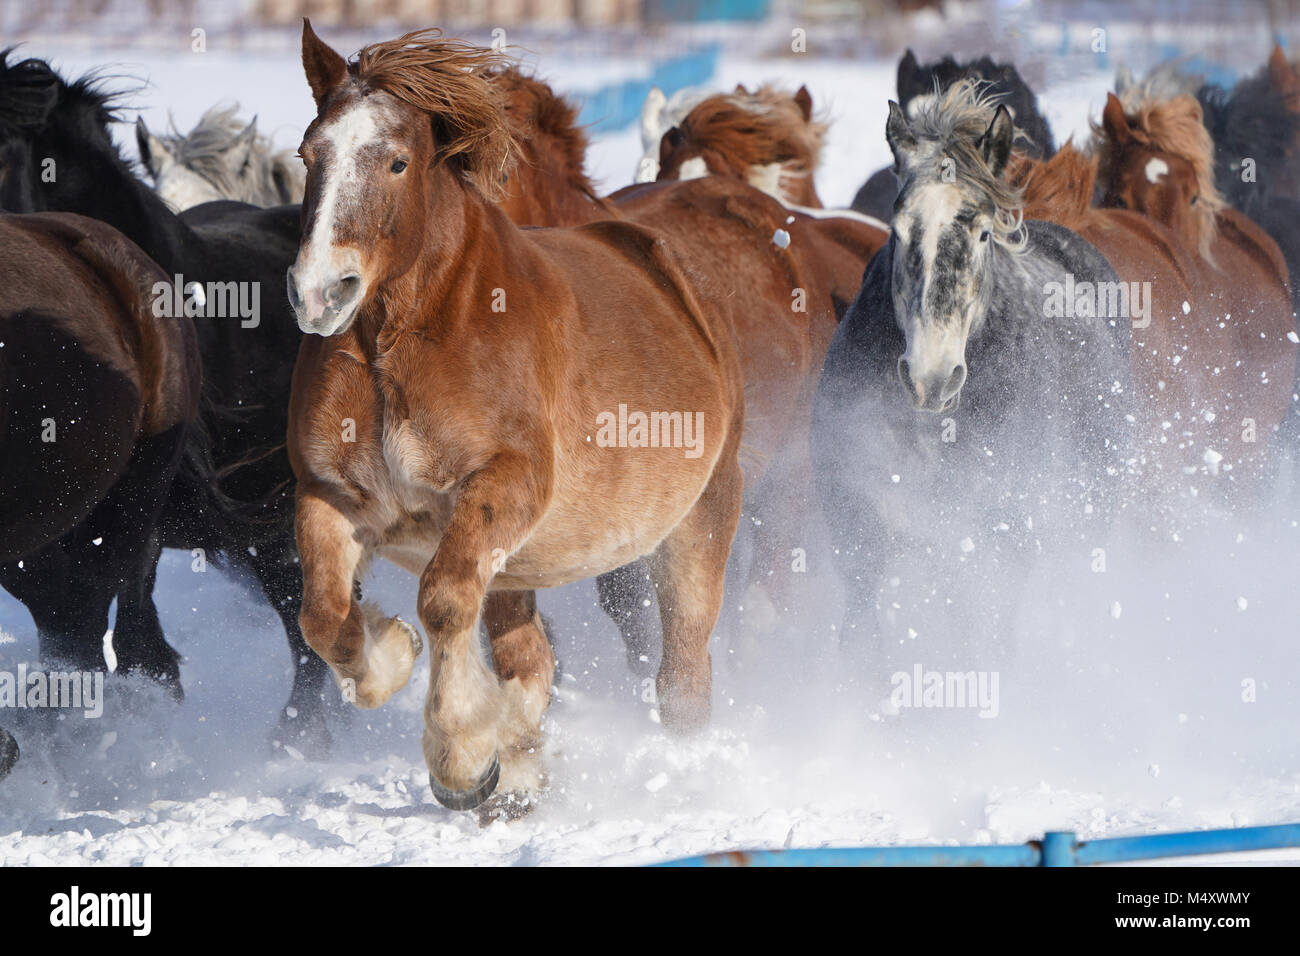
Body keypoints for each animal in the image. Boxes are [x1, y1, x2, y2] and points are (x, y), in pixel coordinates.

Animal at [289, 21, 752, 814]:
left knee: (684, 679)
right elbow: (320, 614)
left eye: (397, 160)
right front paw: (394, 659)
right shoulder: (330, 497)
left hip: (696, 526)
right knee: (530, 660)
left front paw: (461, 759)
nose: (321, 293)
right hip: (518, 562)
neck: (398, 341)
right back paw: (521, 771)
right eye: (308, 155)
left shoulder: (502, 484)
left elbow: (444, 603)